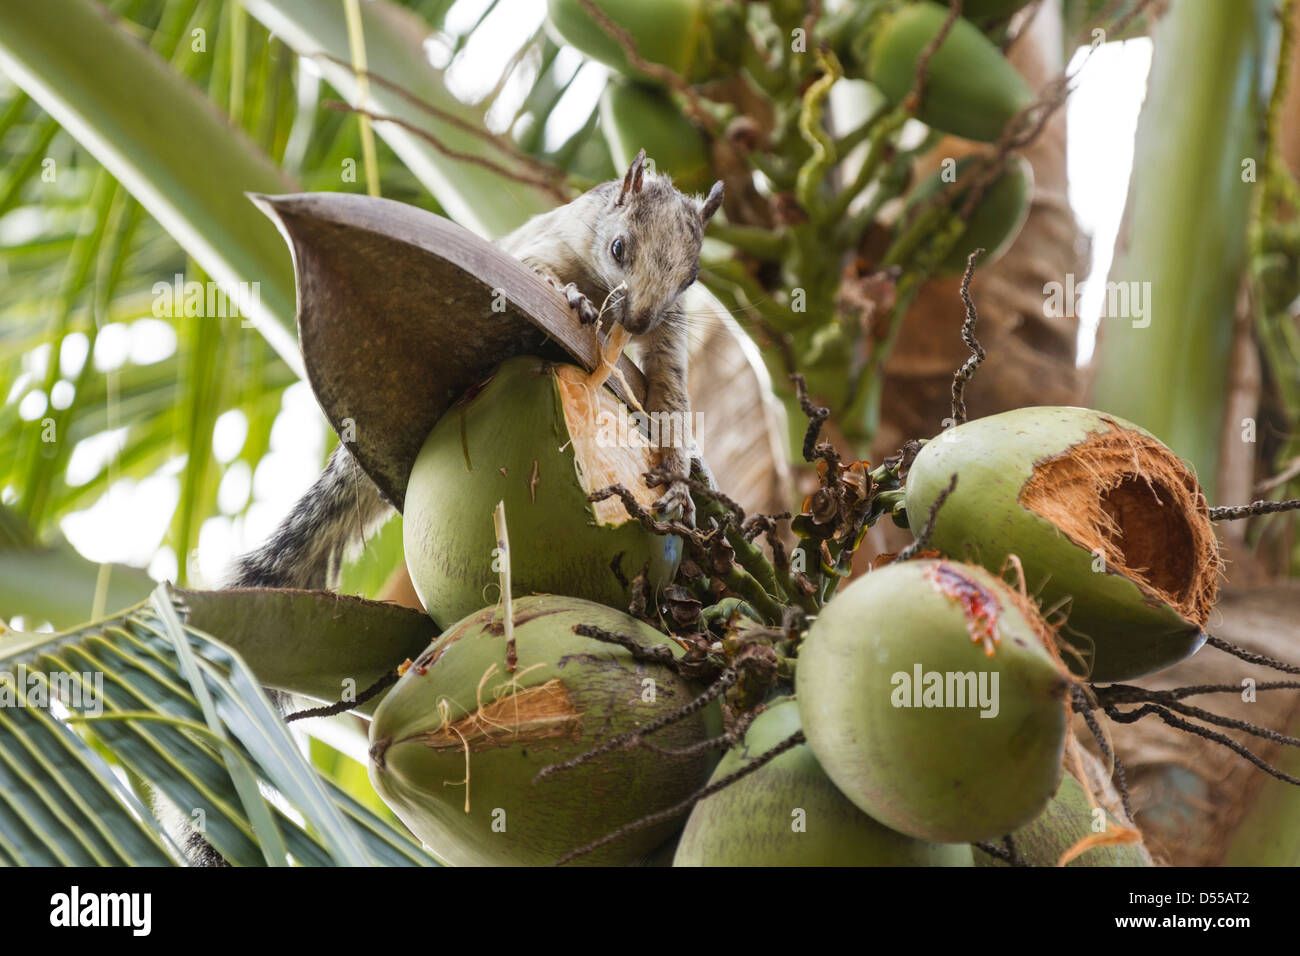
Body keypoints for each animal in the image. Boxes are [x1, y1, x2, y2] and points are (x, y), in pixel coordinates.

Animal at [225, 150, 724, 591]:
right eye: (619, 248)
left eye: (691, 278)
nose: (637, 321)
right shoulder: (551, 242)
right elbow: (535, 267)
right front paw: (570, 296)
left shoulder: (669, 328)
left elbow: (670, 396)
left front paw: (677, 485)